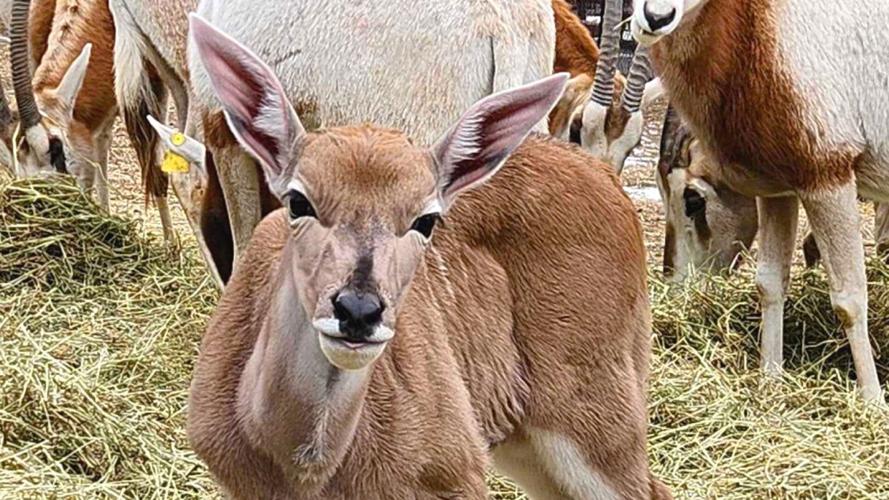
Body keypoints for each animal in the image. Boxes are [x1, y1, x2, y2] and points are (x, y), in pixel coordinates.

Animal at [186, 15, 670, 500]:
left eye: (426, 220)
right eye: (298, 201)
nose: (358, 311)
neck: (308, 466)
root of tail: (606, 178)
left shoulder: (456, 473)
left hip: (593, 418)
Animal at [631, 0, 888, 402]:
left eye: (693, 200)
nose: (656, 19)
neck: (762, 26)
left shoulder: (828, 179)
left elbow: (849, 299)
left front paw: (872, 403)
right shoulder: (779, 190)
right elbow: (769, 282)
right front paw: (770, 382)